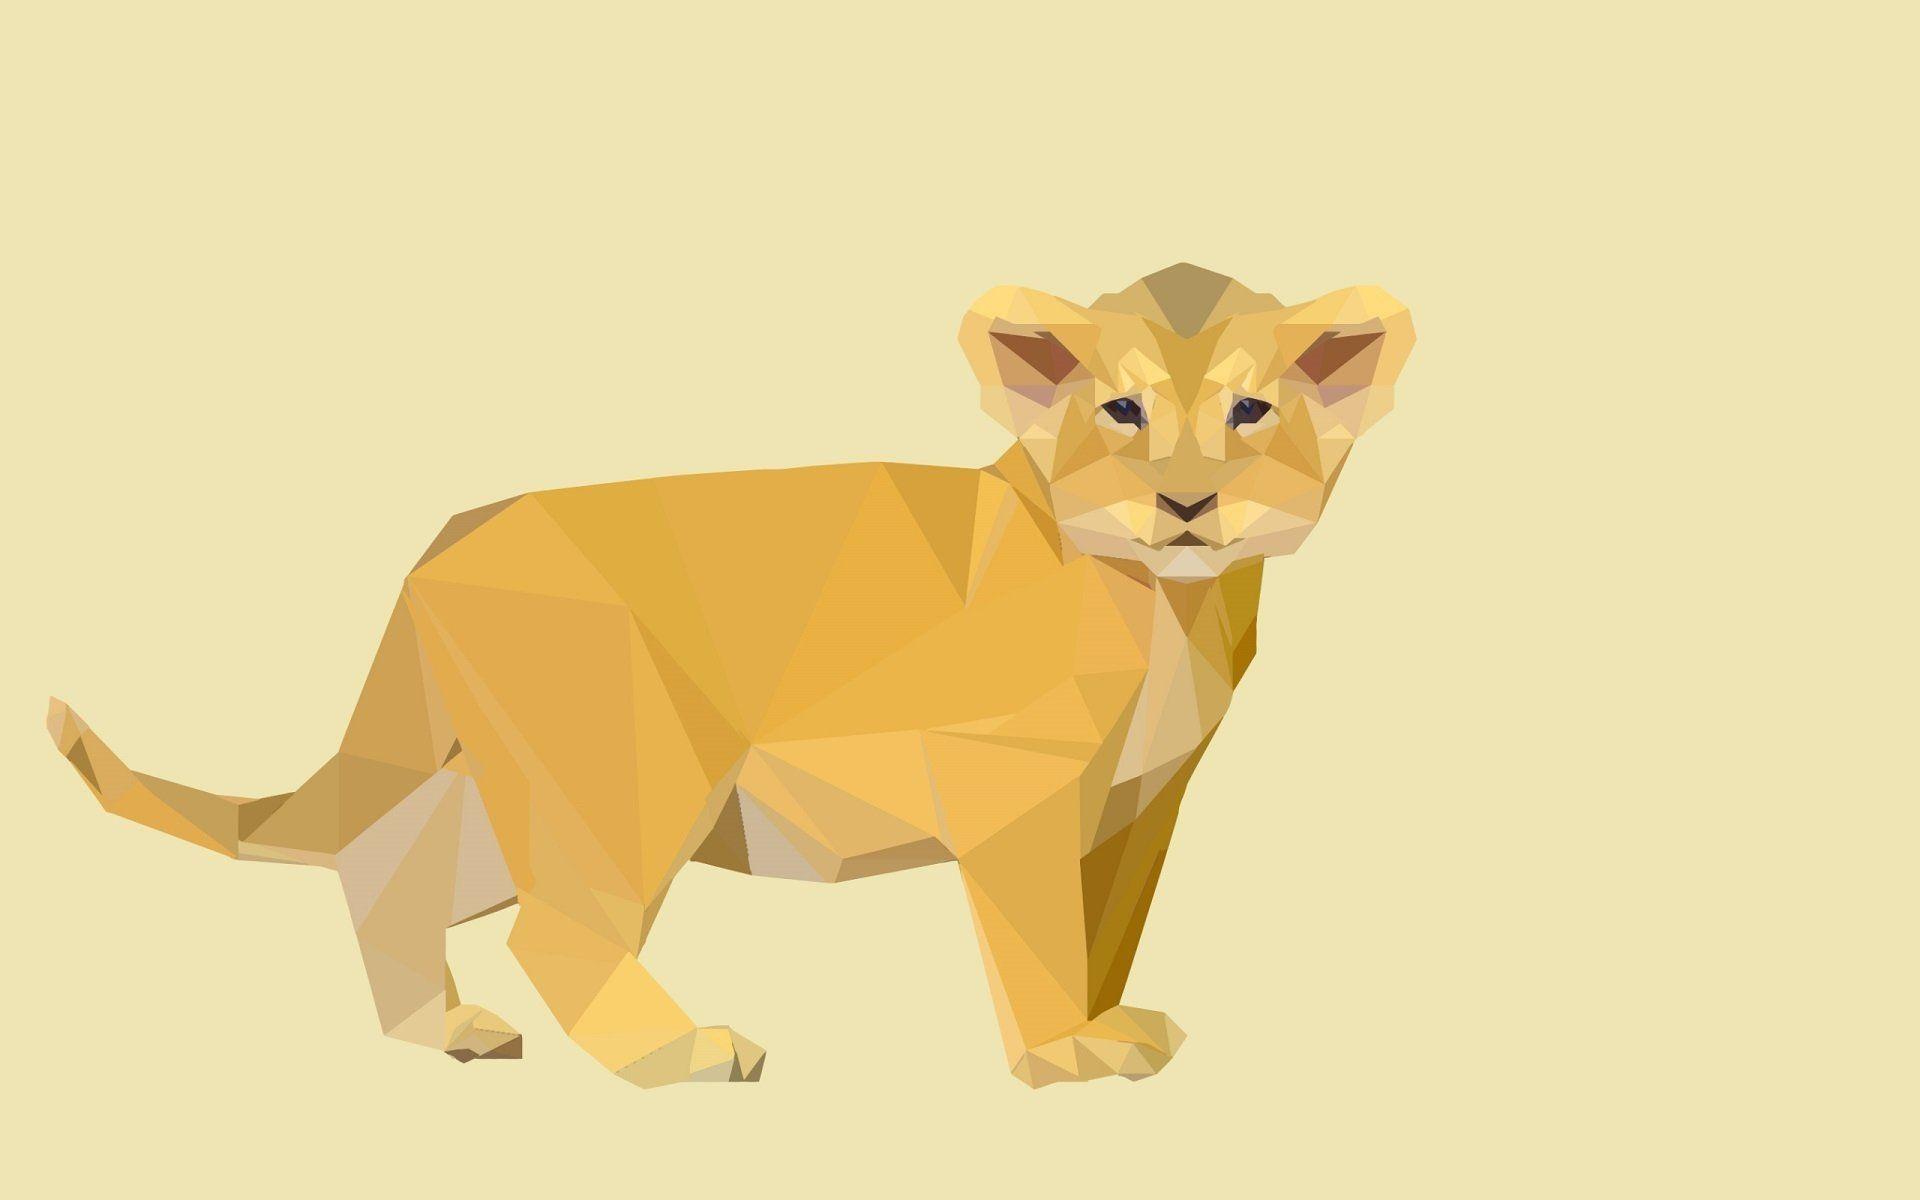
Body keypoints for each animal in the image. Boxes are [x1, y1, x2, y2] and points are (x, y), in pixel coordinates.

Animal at [49, 264, 1413, 1087]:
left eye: (1251, 413)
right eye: (1122, 413)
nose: (1187, 506)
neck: (1172, 607)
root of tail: (447, 544)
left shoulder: (1139, 809)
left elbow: (1110, 931)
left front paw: (1111, 1026)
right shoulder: (1014, 793)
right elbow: (1039, 939)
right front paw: (1060, 1057)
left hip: (497, 789)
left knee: (390, 877)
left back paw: (445, 1034)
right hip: (624, 774)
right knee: (555, 931)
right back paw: (681, 1056)